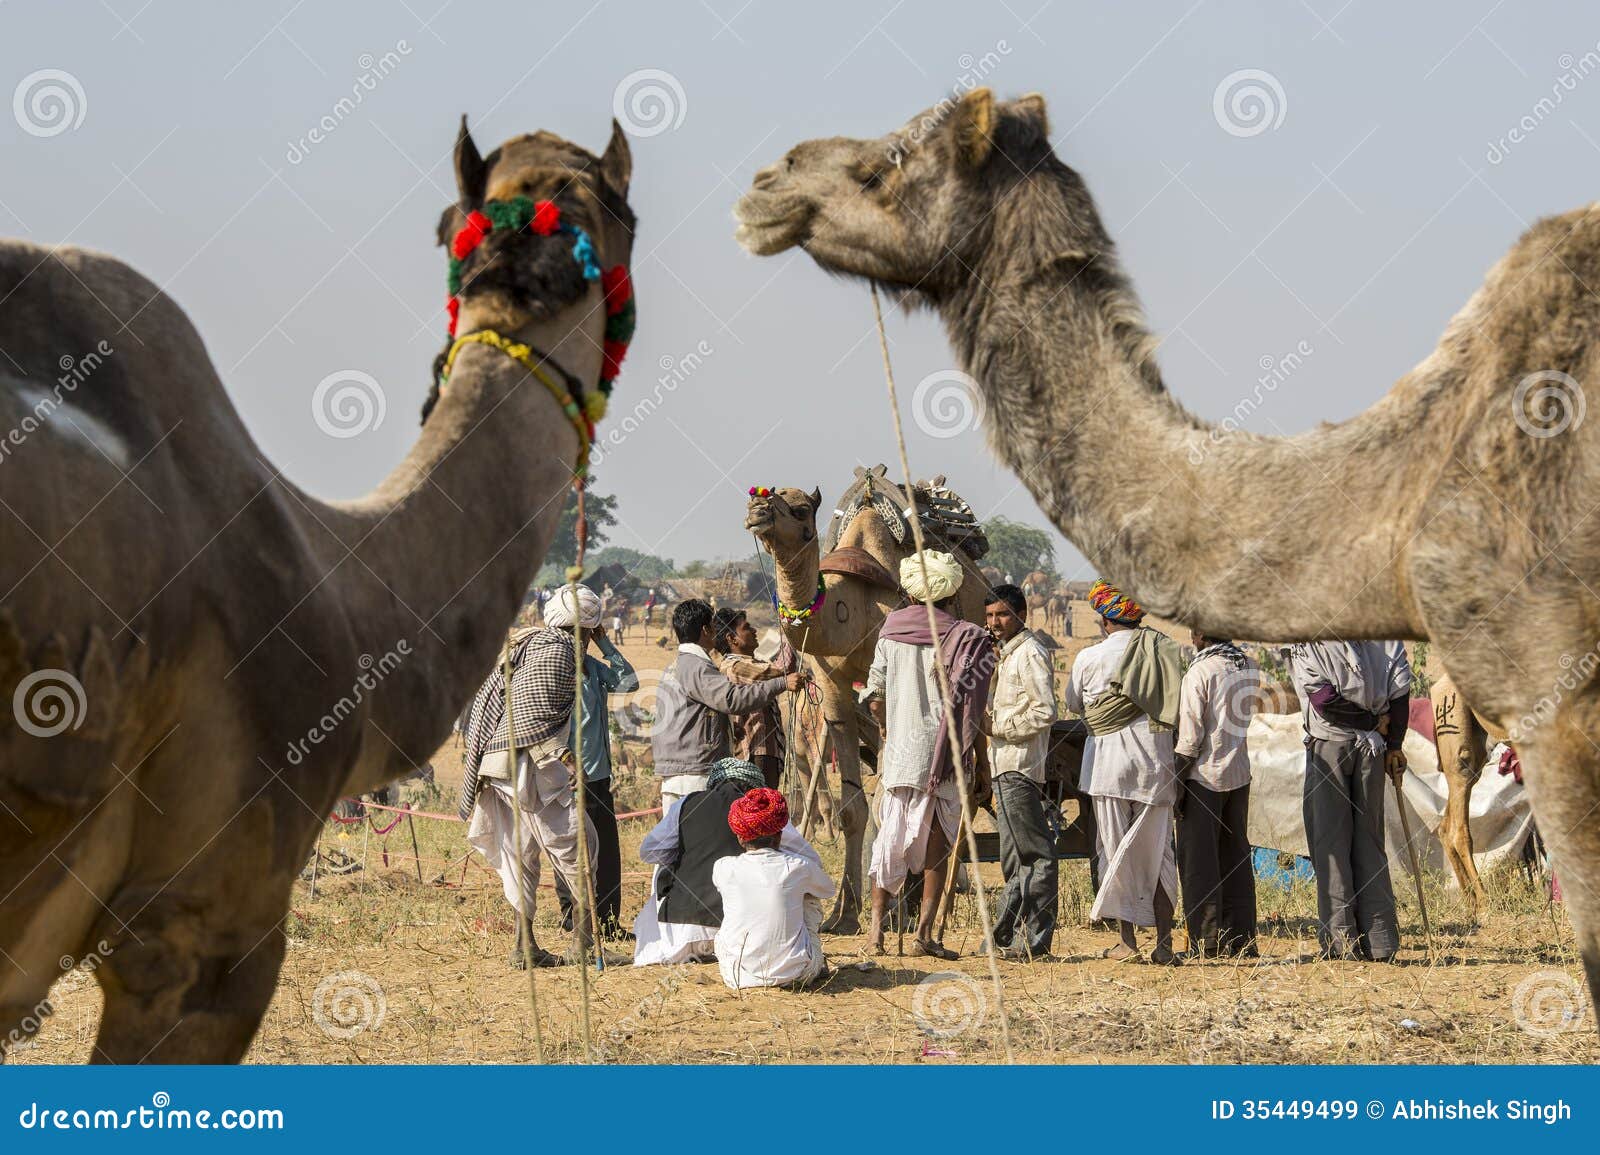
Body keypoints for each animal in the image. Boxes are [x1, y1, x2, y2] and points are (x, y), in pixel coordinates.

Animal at [744, 469, 989, 931]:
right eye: (764, 493)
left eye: (799, 509)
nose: (757, 508)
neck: (849, 608)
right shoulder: (834, 691)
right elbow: (854, 807)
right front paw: (844, 913)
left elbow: (892, 797)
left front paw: (891, 905)